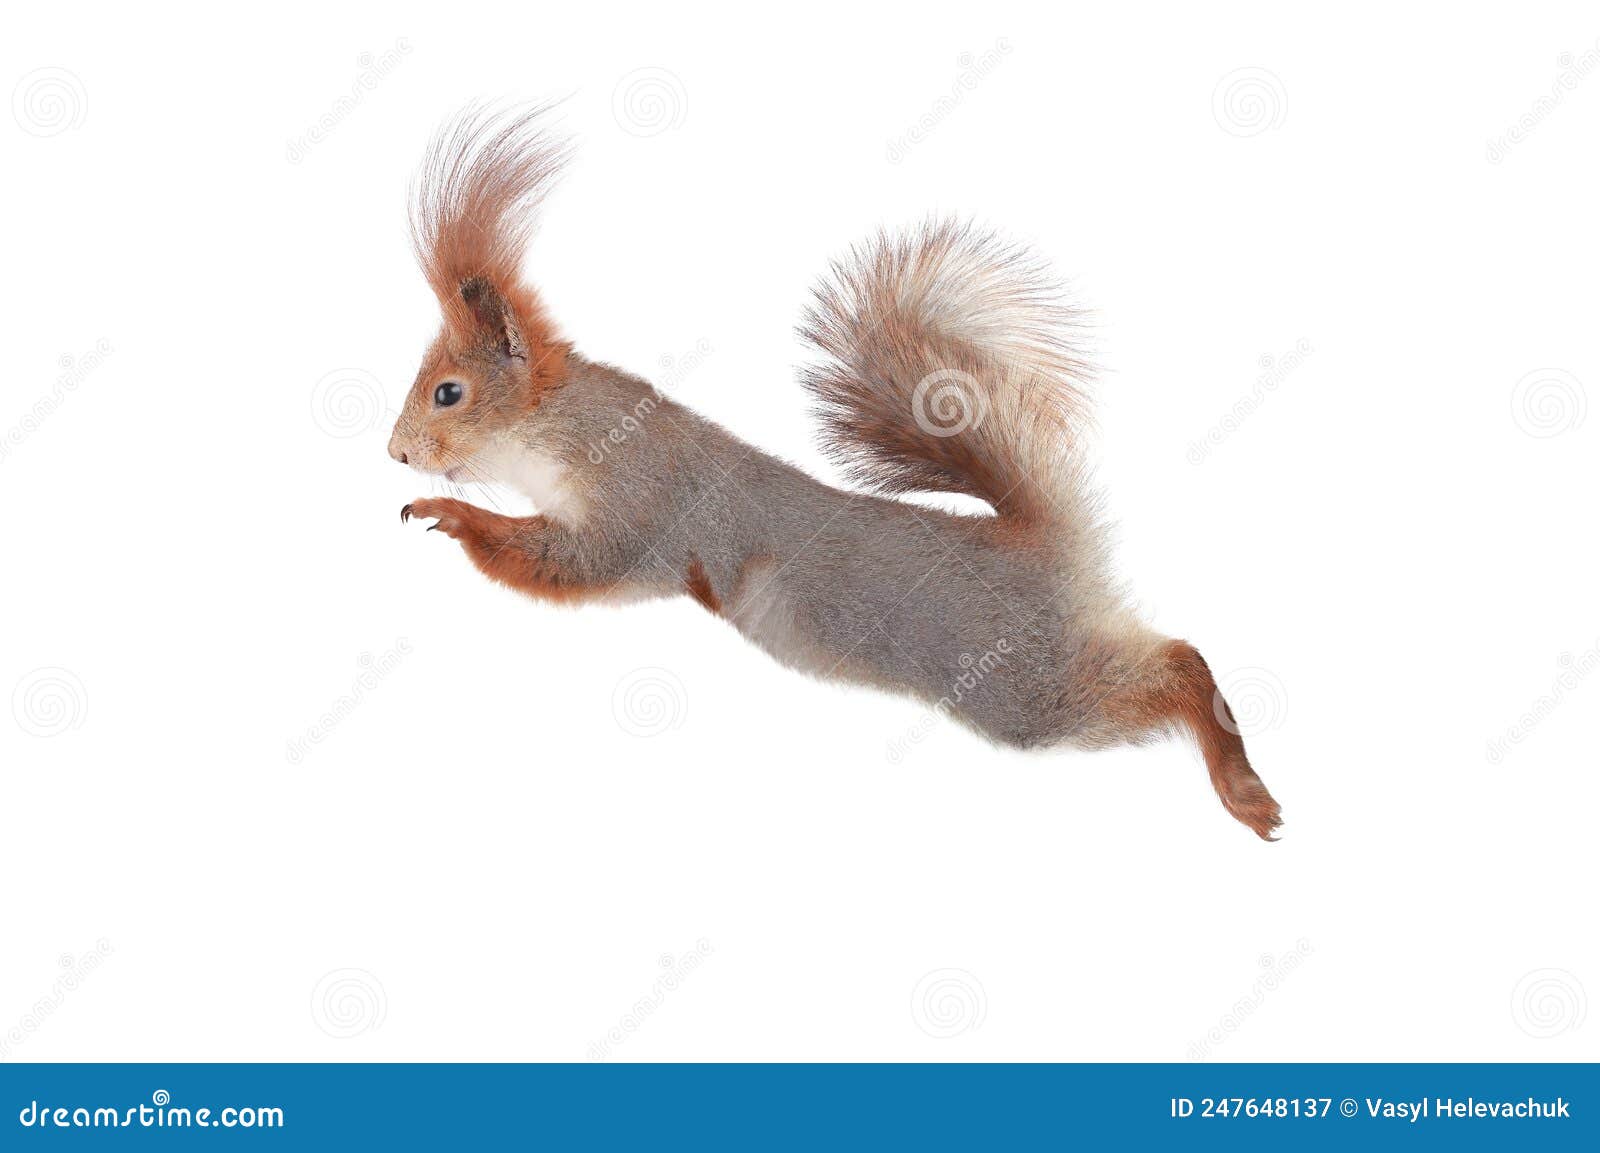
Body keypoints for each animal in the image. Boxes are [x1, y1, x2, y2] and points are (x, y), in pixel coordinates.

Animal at [388, 107, 1282, 840]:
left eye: (448, 392)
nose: (395, 452)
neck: (558, 425)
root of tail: (1041, 546)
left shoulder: (642, 501)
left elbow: (567, 559)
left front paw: (450, 512)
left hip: (1018, 681)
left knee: (1178, 662)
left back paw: (1241, 784)